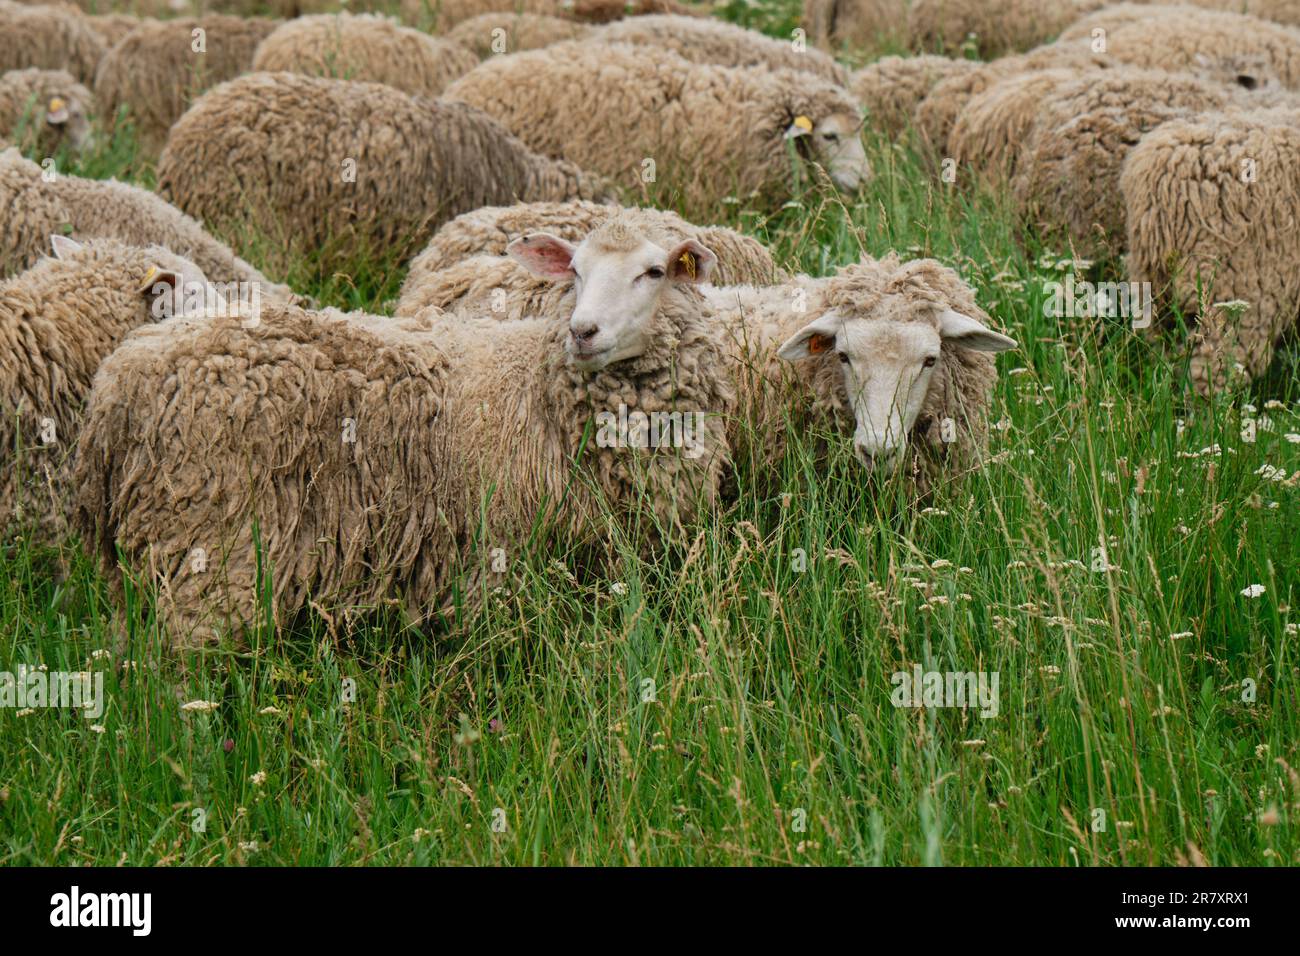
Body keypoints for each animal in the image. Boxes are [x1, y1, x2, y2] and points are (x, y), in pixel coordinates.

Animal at [72, 216, 735, 647]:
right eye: (573, 270)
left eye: (654, 272)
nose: (583, 332)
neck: (538, 386)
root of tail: (118, 385)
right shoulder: (495, 556)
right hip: (209, 546)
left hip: (142, 563)